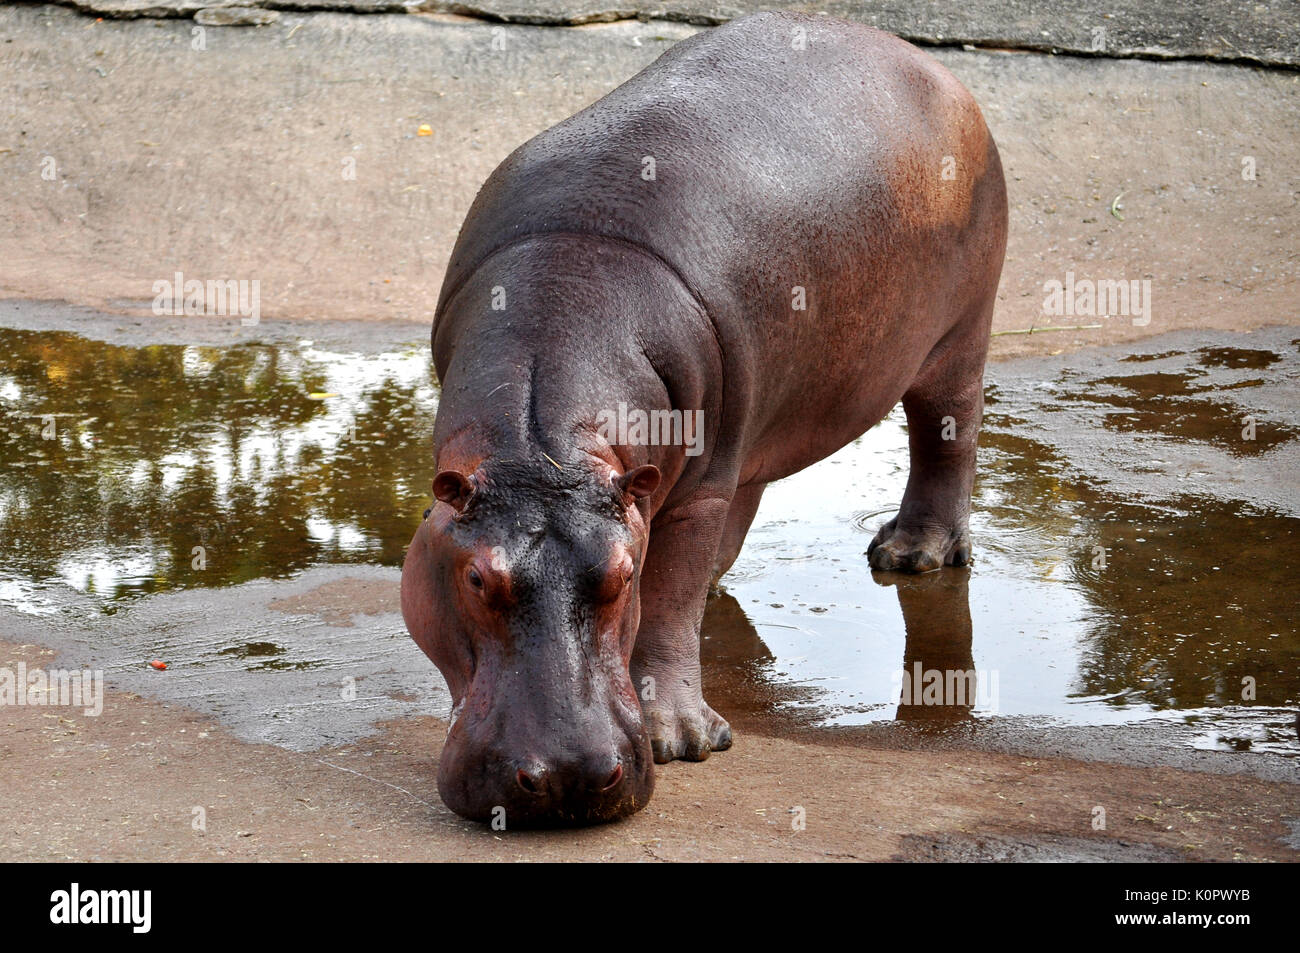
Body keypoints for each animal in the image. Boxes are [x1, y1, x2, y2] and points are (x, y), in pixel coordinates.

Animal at [401, 11, 1007, 825]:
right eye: (474, 578)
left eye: (621, 574)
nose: (567, 777)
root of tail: (920, 59)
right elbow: (681, 578)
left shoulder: (690, 497)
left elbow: (667, 603)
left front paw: (682, 740)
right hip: (751, 422)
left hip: (958, 337)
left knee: (946, 434)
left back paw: (911, 554)